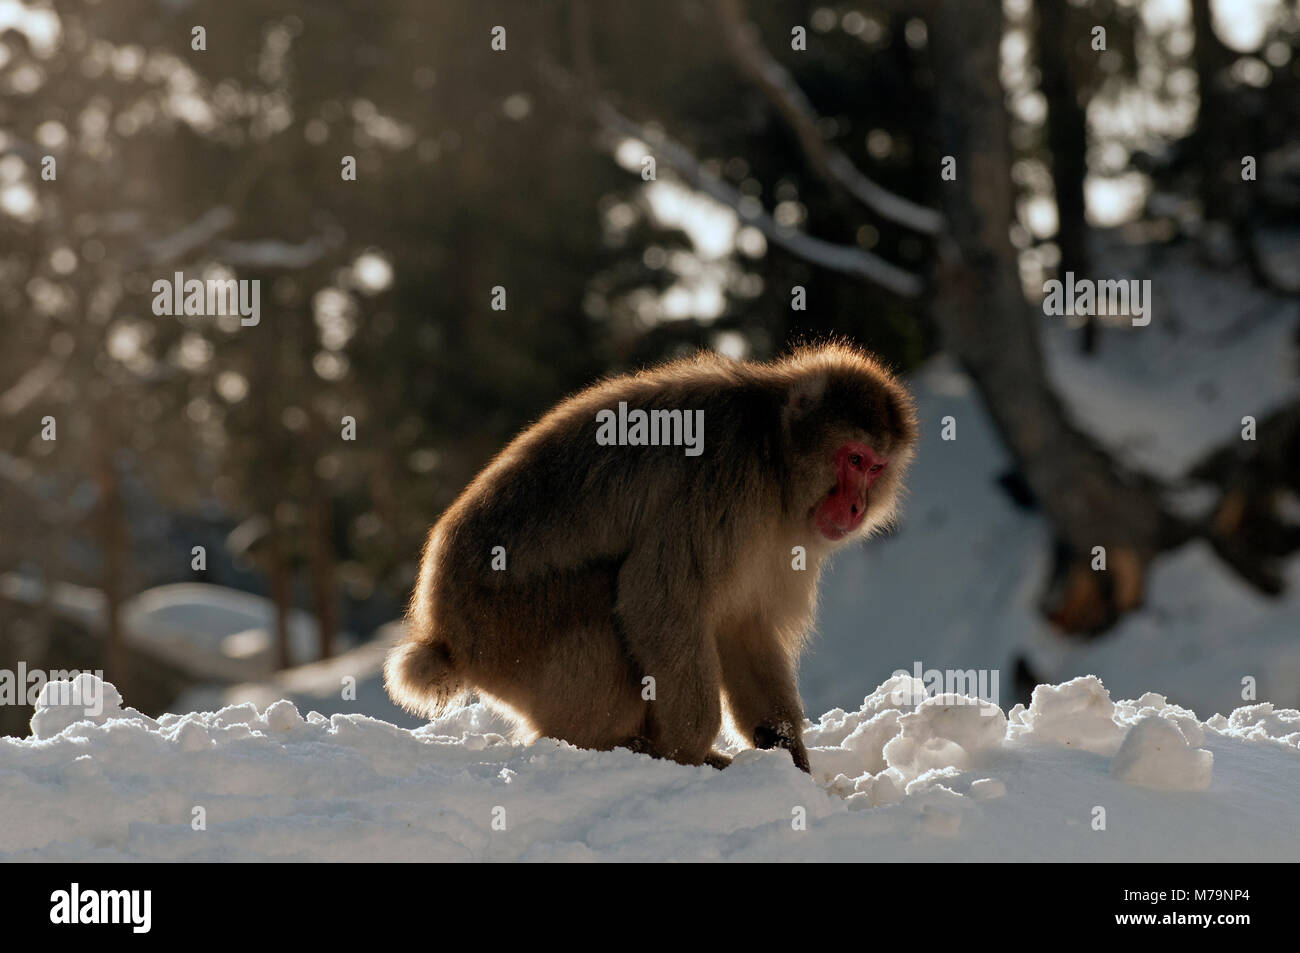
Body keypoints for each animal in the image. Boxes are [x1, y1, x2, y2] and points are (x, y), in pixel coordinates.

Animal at [385, 342, 917, 773]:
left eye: (875, 468)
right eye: (852, 459)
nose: (856, 507)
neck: (774, 457)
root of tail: (442, 635)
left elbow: (744, 624)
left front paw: (789, 755)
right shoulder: (721, 482)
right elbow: (657, 599)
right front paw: (687, 754)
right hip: (505, 632)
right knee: (603, 598)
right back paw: (627, 748)